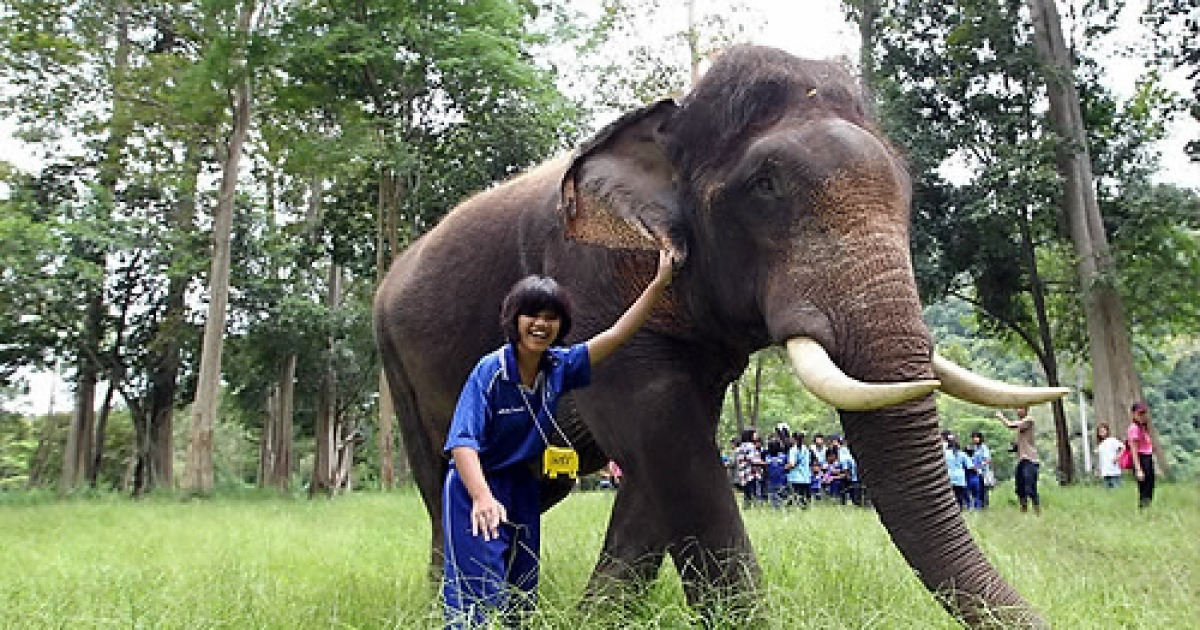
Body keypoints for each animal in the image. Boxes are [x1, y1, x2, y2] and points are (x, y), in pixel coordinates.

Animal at [373, 45, 1066, 627]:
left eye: (907, 188)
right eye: (766, 186)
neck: (670, 120)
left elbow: (665, 457)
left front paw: (595, 620)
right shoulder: (587, 279)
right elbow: (663, 434)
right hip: (396, 362)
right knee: (443, 479)